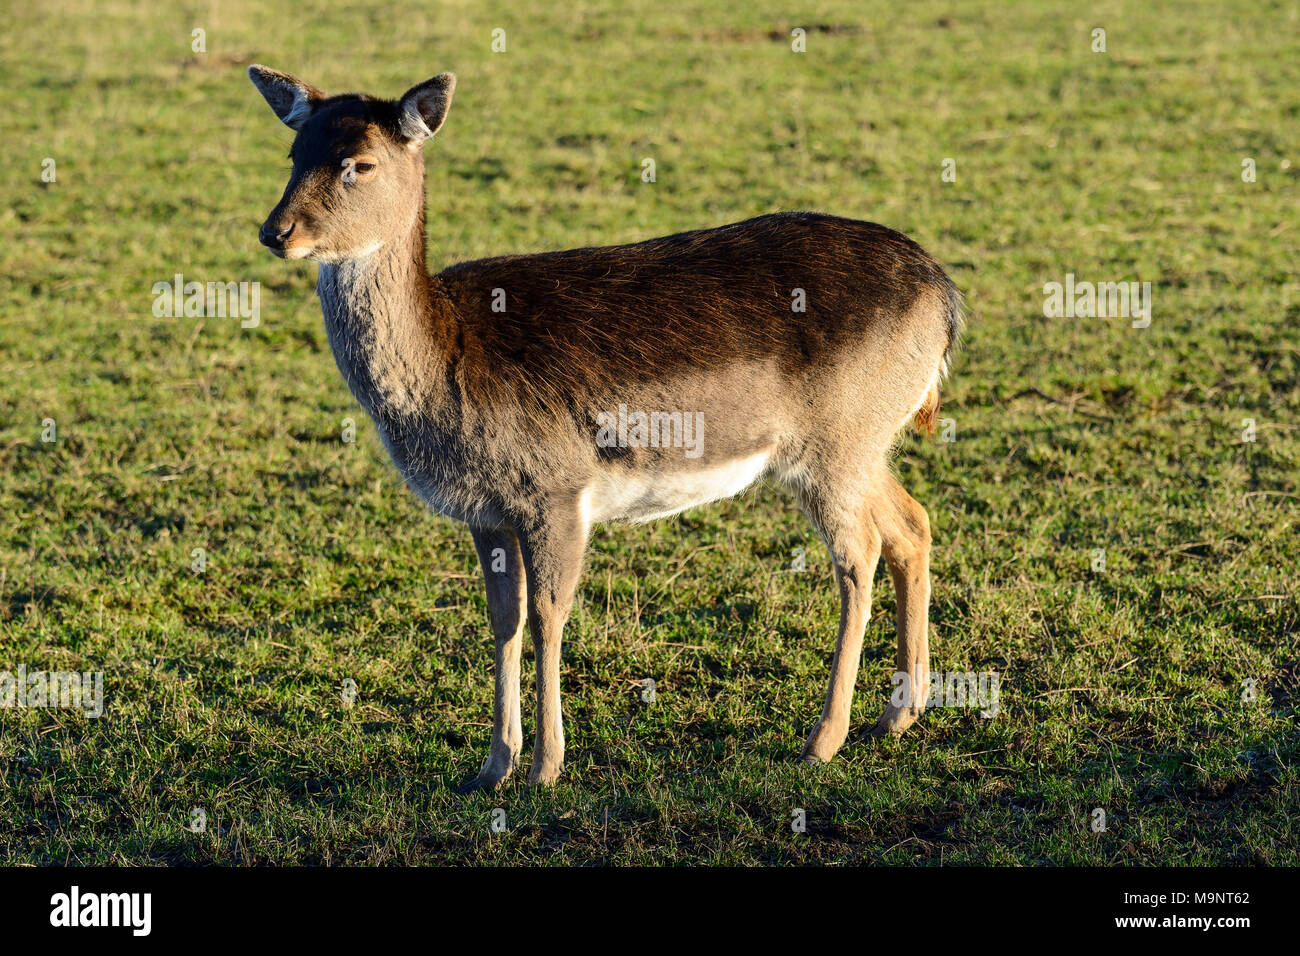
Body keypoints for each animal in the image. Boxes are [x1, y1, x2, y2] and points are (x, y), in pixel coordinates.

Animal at [248, 66, 963, 791]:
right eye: (294, 153)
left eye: (360, 164)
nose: (276, 231)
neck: (447, 364)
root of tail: (946, 297)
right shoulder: (485, 511)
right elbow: (502, 618)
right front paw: (491, 767)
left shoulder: (556, 489)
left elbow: (548, 615)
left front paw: (545, 767)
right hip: (860, 442)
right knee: (912, 523)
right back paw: (897, 716)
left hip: (834, 443)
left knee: (859, 553)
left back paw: (823, 738)